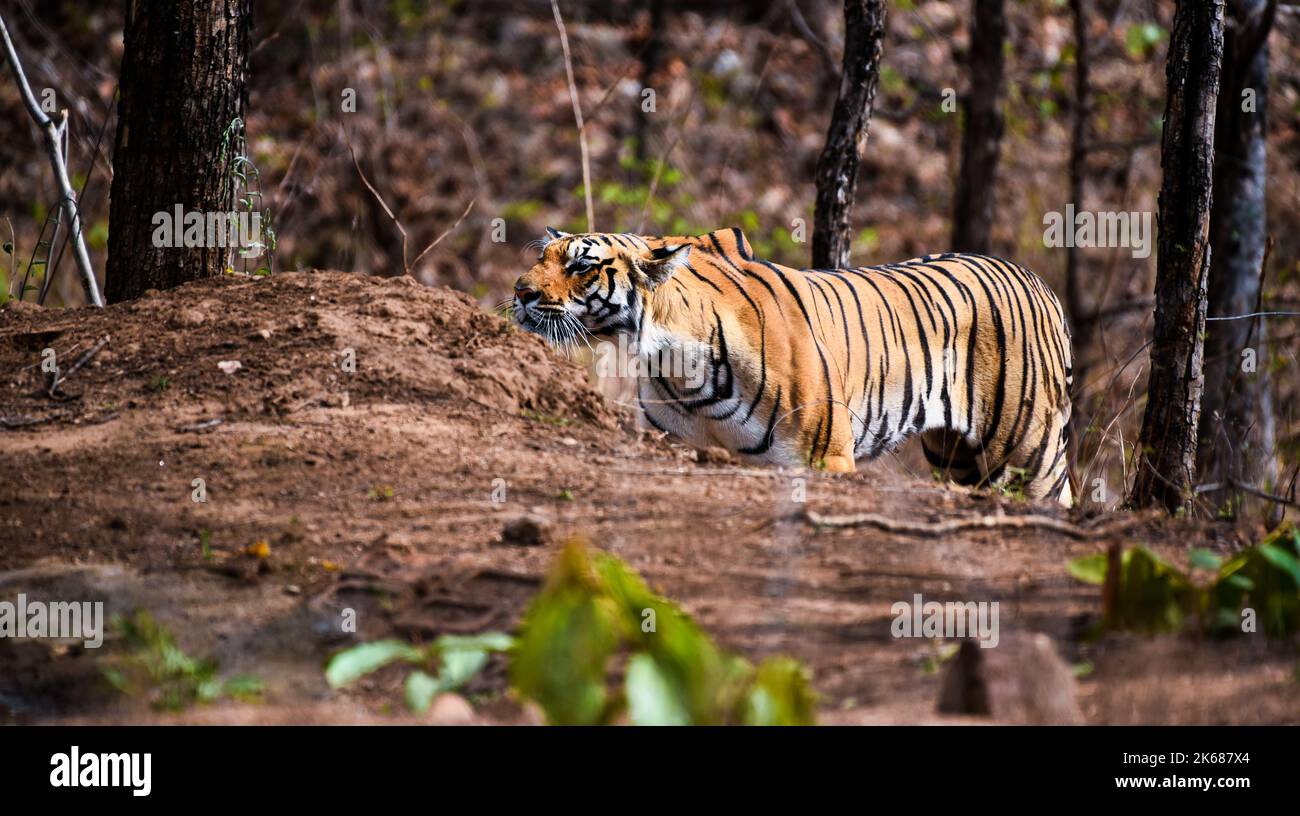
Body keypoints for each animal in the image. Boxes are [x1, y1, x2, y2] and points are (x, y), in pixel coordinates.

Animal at [512, 227, 1074, 505]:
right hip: (955, 457)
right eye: (543, 256)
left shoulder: (827, 459)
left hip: (1030, 455)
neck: (678, 368)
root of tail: (1040, 282)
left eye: (581, 265)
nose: (520, 291)